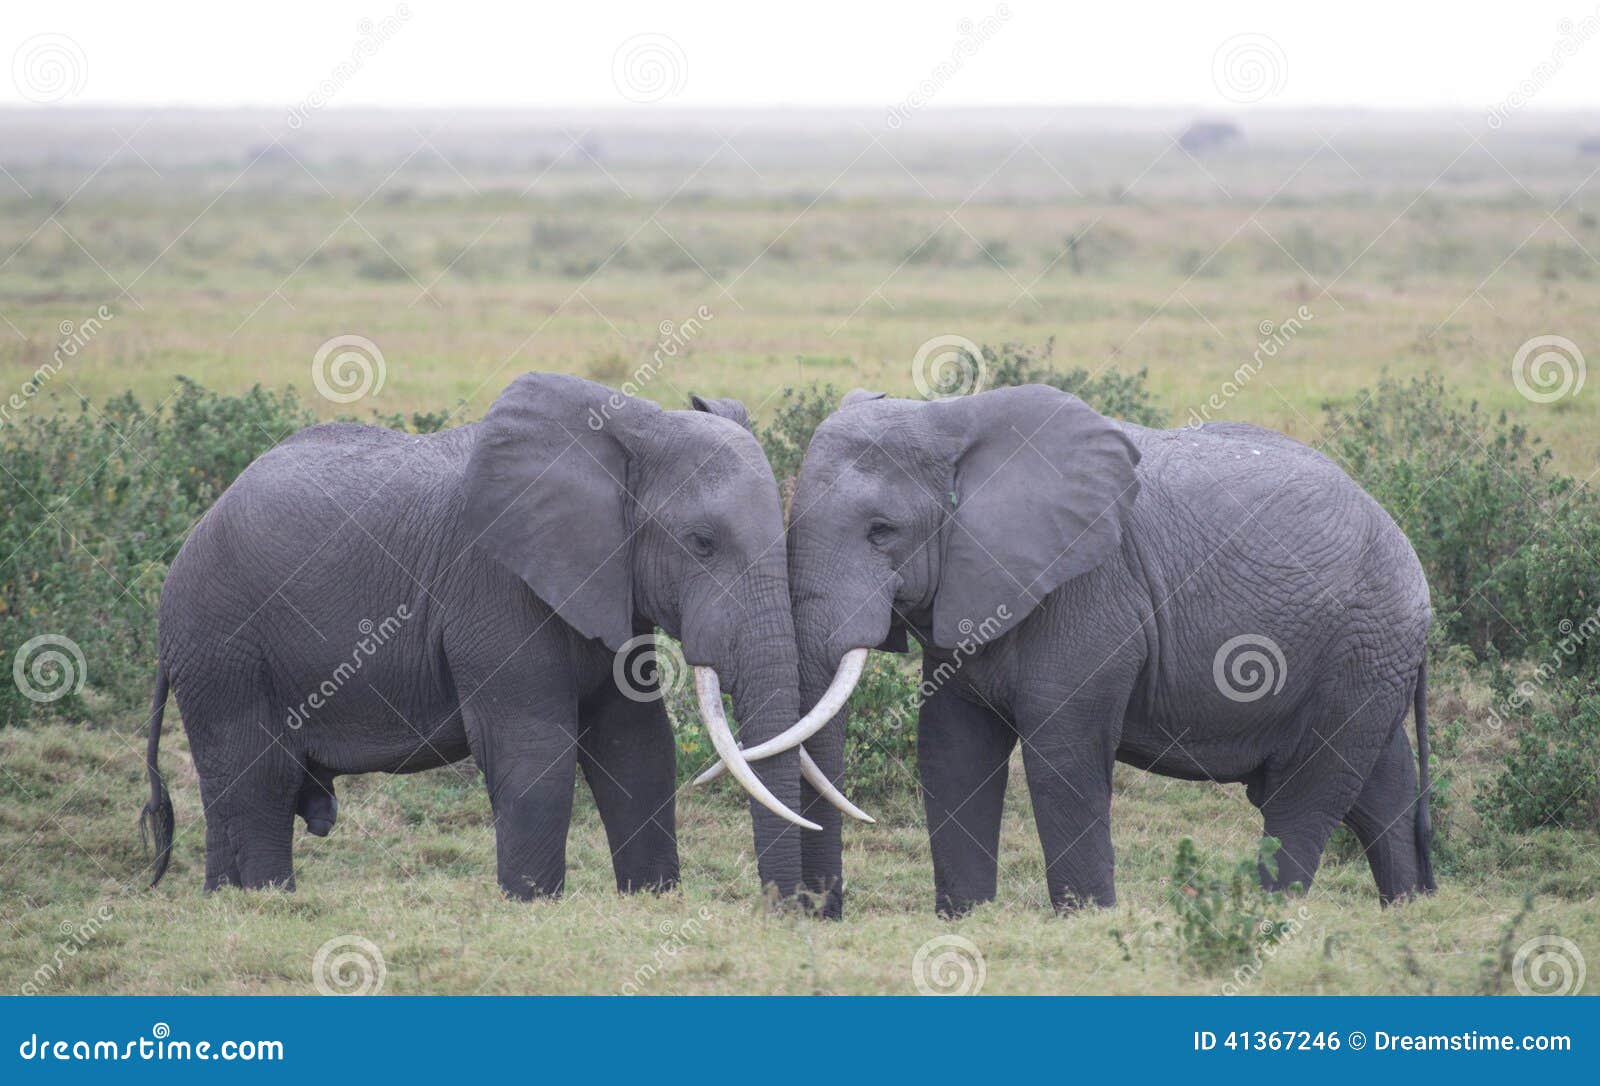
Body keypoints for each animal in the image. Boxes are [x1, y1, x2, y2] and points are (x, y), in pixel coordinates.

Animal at [140, 372, 851, 902]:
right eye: (700, 543)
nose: (788, 909)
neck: (630, 427)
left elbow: (637, 744)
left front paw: (651, 899)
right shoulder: (494, 584)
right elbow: (533, 747)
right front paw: (533, 905)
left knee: (230, 785)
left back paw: (225, 899)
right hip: (222, 643)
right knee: (259, 776)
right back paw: (271, 900)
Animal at [703, 384, 1436, 917]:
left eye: (882, 531)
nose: (818, 912)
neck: (954, 421)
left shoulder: (1090, 590)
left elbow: (1061, 747)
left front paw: (1085, 916)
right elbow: (951, 745)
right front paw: (966, 918)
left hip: (1366, 642)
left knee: (1306, 791)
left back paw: (1262, 914)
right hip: (1371, 655)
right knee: (1381, 785)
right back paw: (1407, 908)